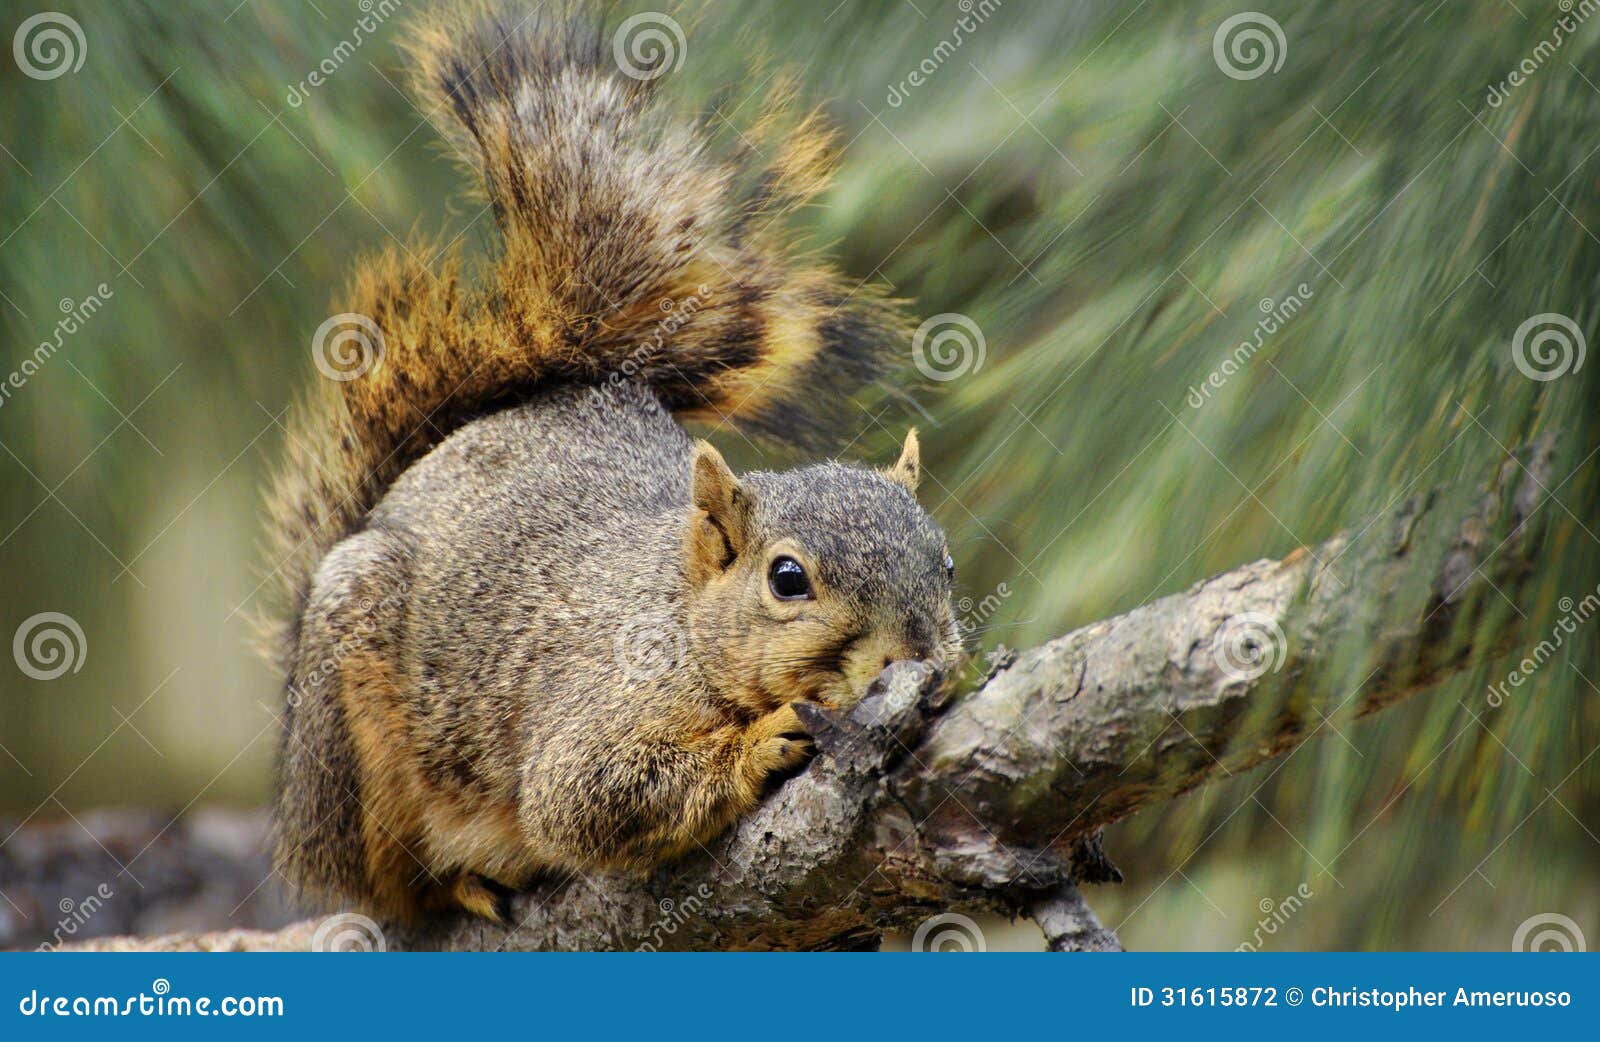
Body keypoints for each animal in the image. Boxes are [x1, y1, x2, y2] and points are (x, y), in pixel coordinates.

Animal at [264, 1, 963, 924]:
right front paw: (762, 742)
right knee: (387, 883)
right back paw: (458, 880)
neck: (684, 616)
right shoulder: (599, 700)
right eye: (787, 579)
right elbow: (586, 797)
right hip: (354, 739)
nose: (922, 662)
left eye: (947, 564)